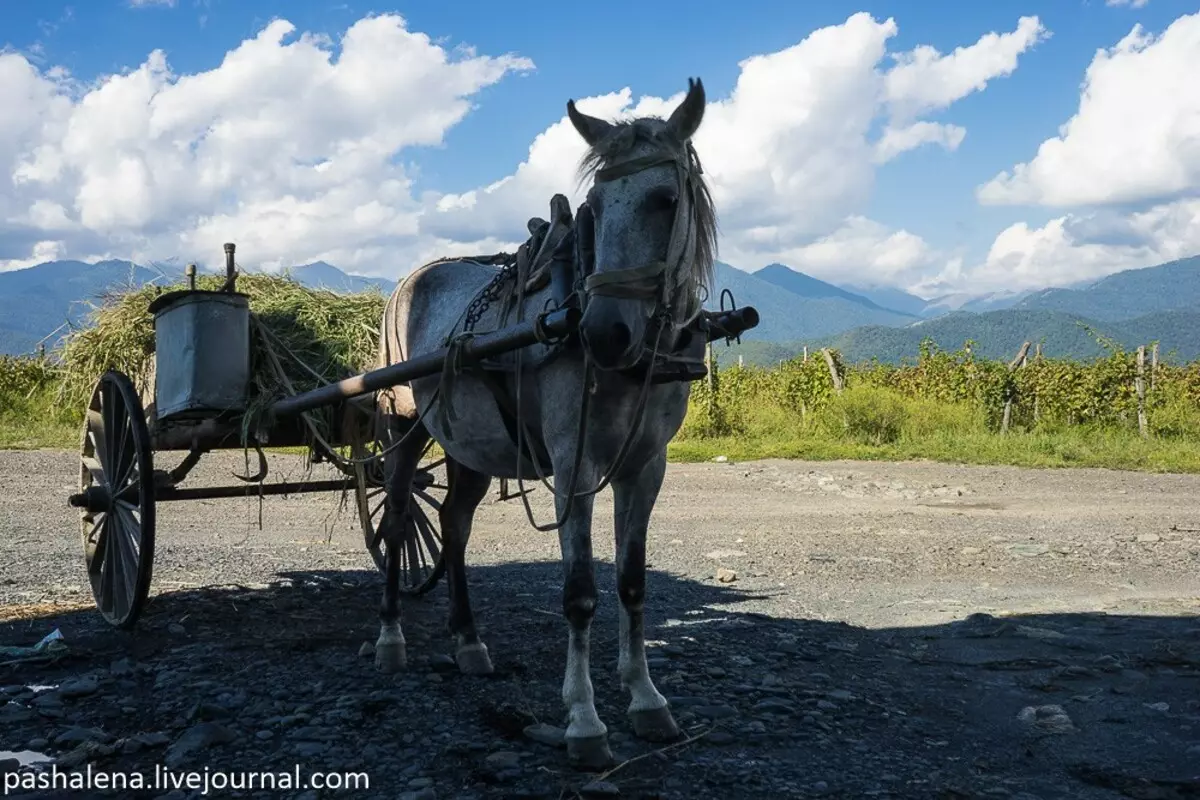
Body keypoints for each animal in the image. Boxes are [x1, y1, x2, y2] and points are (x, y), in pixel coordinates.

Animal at [369, 76, 715, 767]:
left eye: (666, 200)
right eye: (596, 207)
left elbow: (632, 583)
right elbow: (580, 593)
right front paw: (584, 720)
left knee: (454, 526)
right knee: (396, 522)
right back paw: (391, 638)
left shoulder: (647, 467)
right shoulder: (573, 465)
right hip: (402, 430)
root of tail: (409, 281)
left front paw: (646, 700)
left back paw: (468, 641)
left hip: (467, 447)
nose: (604, 333)